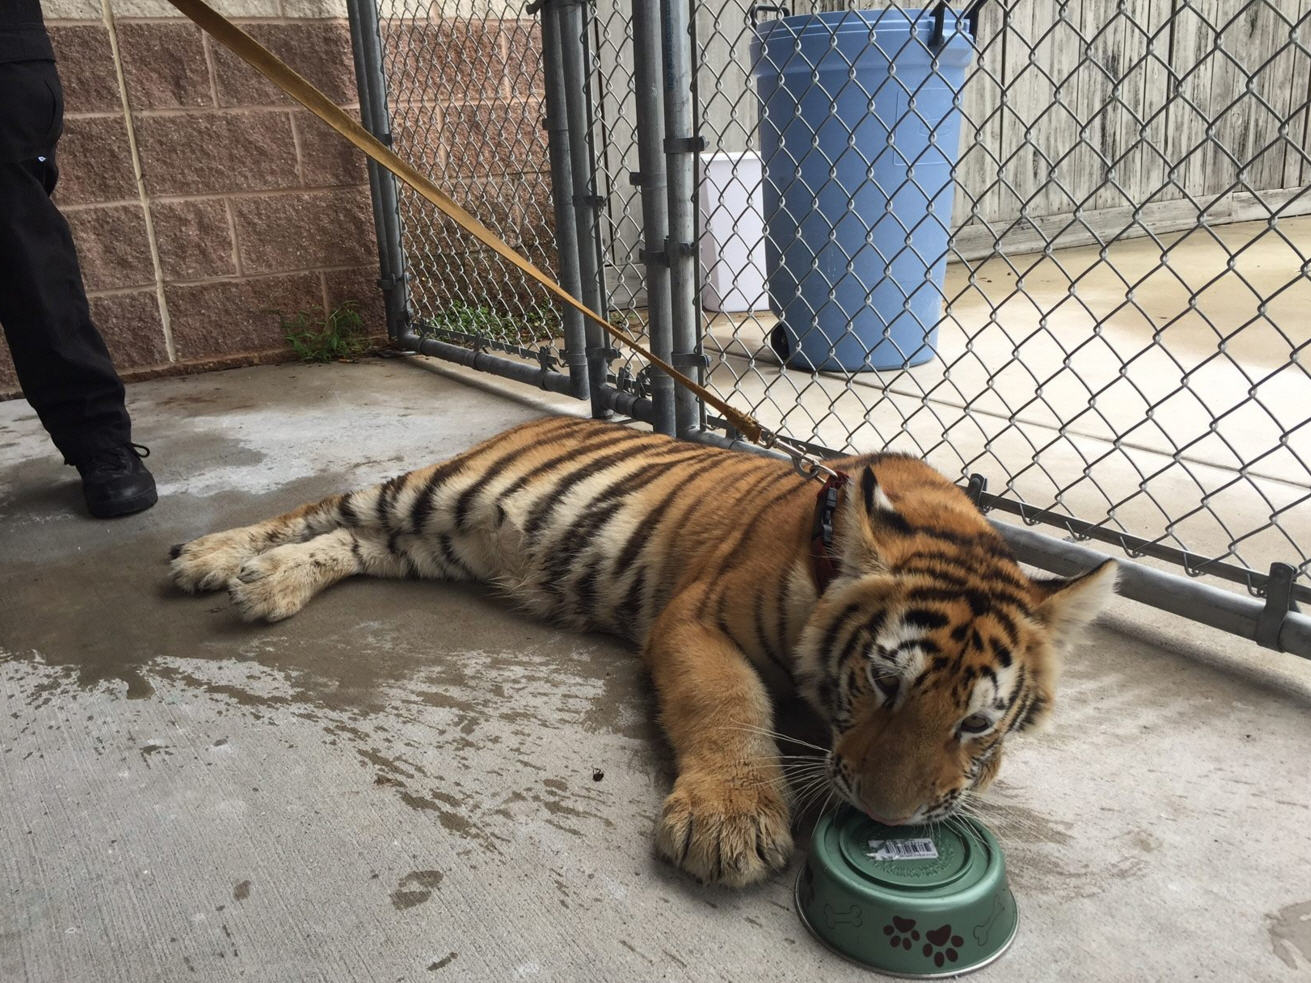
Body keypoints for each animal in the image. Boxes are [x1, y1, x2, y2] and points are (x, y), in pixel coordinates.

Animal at [169, 414, 1115, 887]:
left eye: (975, 724)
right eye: (882, 681)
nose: (884, 821)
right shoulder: (696, 621)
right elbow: (728, 708)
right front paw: (730, 821)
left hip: (432, 543)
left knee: (347, 543)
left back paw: (268, 583)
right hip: (427, 493)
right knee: (315, 509)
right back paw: (212, 557)